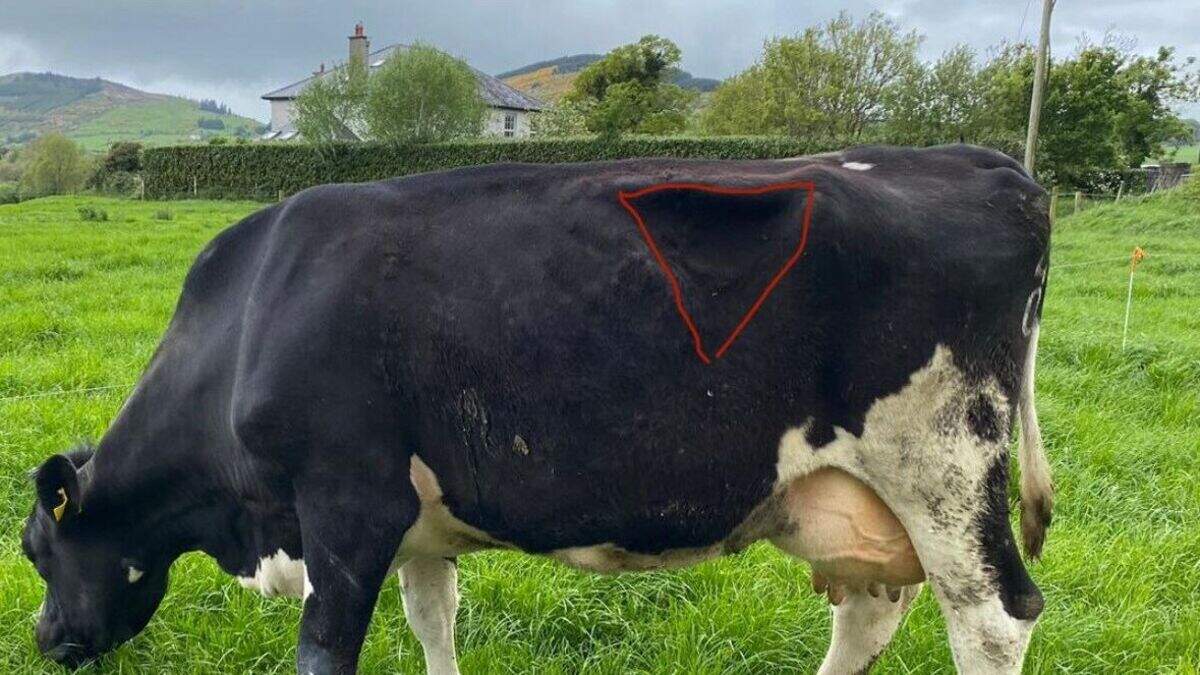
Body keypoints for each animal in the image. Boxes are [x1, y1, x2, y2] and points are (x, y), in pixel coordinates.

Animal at [22, 144, 1053, 674]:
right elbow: (432, 619)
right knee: (873, 611)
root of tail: (987, 161)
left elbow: (326, 650)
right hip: (865, 497)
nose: (42, 639)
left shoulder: (346, 503)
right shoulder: (416, 520)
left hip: (946, 464)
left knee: (993, 619)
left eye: (35, 548)